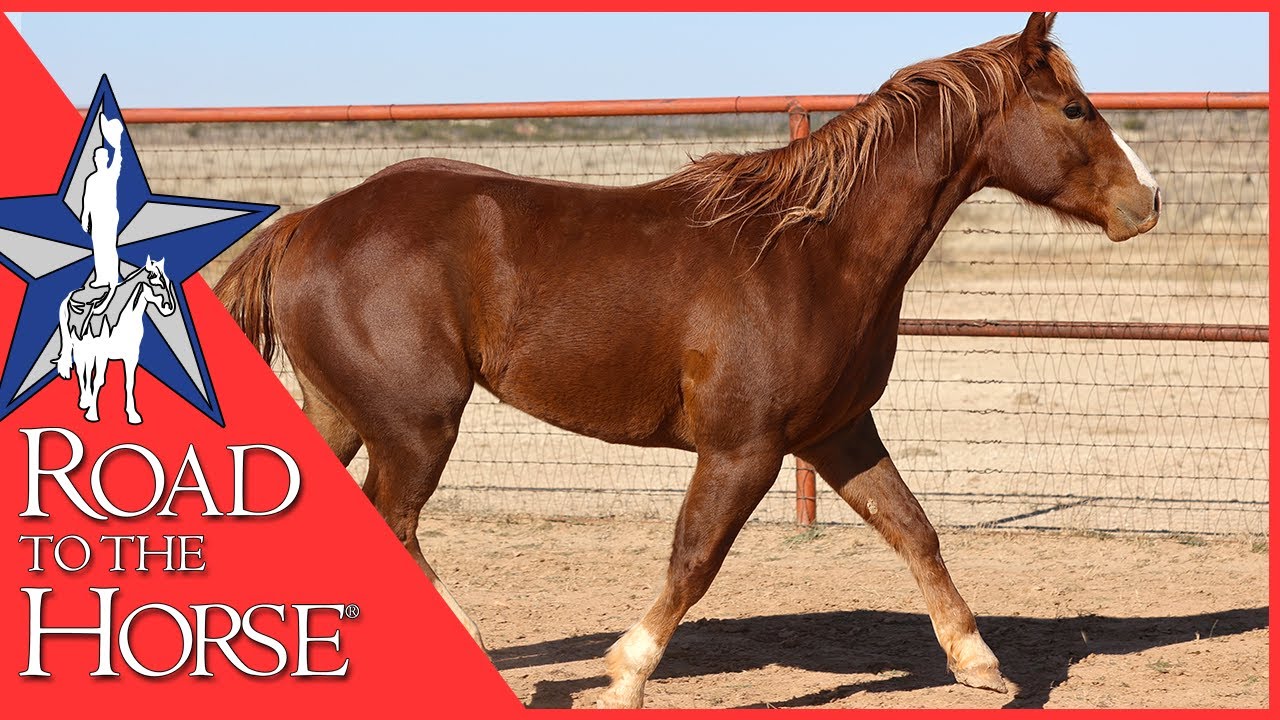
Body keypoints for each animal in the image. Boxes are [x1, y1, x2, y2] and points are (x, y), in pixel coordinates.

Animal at [56, 256, 176, 424]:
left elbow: (130, 383)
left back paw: (87, 400)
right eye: (156, 282)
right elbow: (99, 380)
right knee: (80, 370)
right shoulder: (102, 355)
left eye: (168, 281)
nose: (169, 308)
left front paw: (133, 415)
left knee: (87, 370)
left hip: (89, 351)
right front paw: (92, 414)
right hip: (79, 347)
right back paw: (85, 401)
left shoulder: (132, 356)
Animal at [215, 13, 1159, 708]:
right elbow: (695, 557)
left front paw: (980, 664)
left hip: (345, 414)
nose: (1147, 202)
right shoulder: (744, 448)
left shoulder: (838, 433)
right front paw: (623, 676)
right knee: (396, 519)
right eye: (1075, 110)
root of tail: (308, 223)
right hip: (417, 424)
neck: (815, 252)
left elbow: (914, 529)